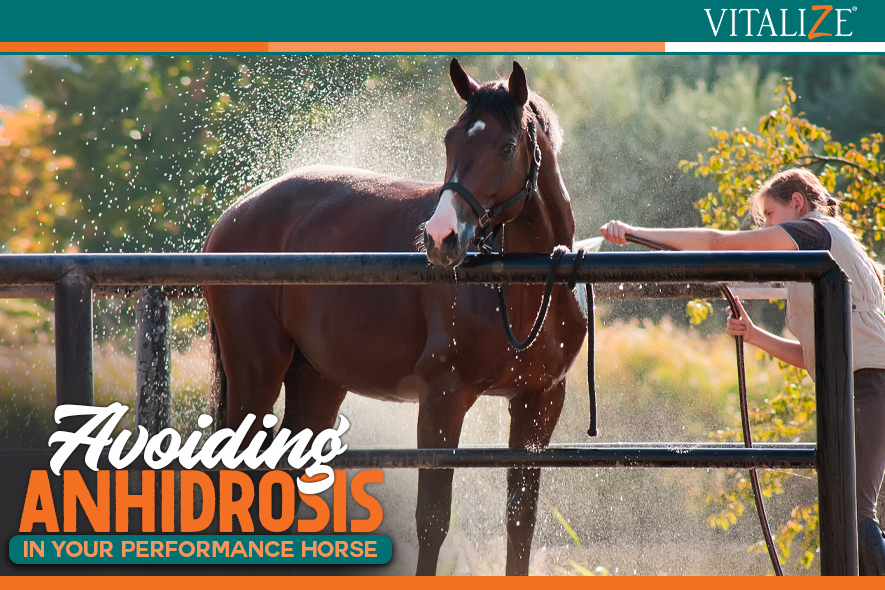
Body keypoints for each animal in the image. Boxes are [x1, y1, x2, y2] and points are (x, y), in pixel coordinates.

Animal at [203, 59, 587, 575]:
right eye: (450, 140)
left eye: (506, 146)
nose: (442, 238)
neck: (520, 287)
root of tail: (235, 214)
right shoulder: (443, 398)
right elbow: (433, 520)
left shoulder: (539, 403)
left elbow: (520, 520)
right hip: (256, 373)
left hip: (316, 382)